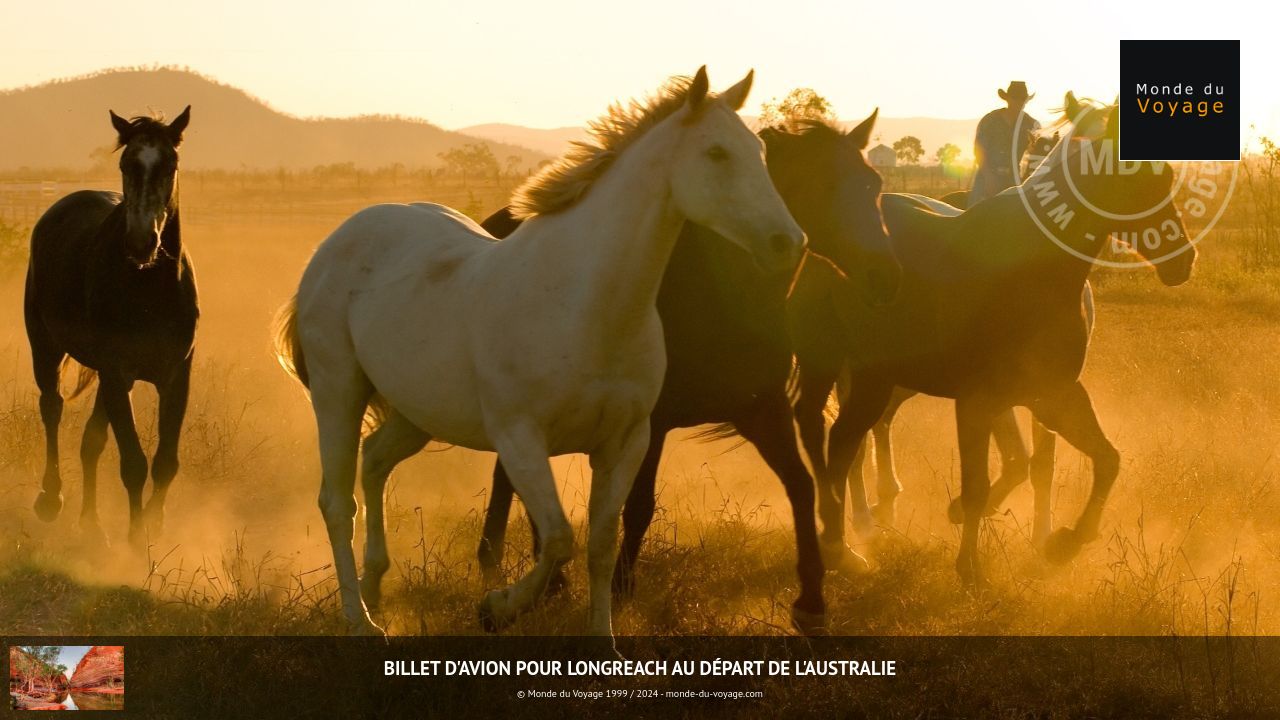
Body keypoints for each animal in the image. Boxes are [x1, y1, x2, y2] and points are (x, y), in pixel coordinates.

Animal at [26, 105, 197, 543]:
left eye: (170, 164)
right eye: (125, 163)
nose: (141, 242)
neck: (149, 288)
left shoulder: (175, 375)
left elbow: (165, 462)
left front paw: (155, 524)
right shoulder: (117, 373)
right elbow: (133, 462)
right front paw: (136, 541)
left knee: (92, 440)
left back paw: (92, 523)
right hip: (46, 347)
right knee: (51, 407)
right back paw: (50, 498)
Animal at [276, 64, 803, 640]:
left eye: (759, 150)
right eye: (716, 153)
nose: (788, 243)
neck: (585, 305)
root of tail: (334, 244)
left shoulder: (626, 441)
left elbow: (600, 545)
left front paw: (602, 641)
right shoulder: (521, 439)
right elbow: (558, 538)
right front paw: (497, 606)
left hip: (418, 414)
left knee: (373, 462)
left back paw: (375, 589)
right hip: (338, 391)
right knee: (336, 501)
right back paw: (361, 620)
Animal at [471, 114, 901, 630]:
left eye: (873, 183)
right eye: (824, 184)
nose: (884, 275)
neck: (716, 291)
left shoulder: (762, 411)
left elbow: (801, 485)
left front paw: (812, 601)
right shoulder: (648, 423)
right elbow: (639, 507)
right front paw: (622, 587)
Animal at [788, 106, 1198, 579]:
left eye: (1166, 175)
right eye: (1136, 178)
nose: (1183, 261)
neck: (1032, 274)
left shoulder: (1053, 395)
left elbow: (1102, 460)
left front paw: (1063, 544)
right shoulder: (977, 401)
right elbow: (979, 486)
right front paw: (969, 566)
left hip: (878, 380)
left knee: (847, 442)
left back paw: (847, 542)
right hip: (846, 372)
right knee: (839, 444)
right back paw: (847, 541)